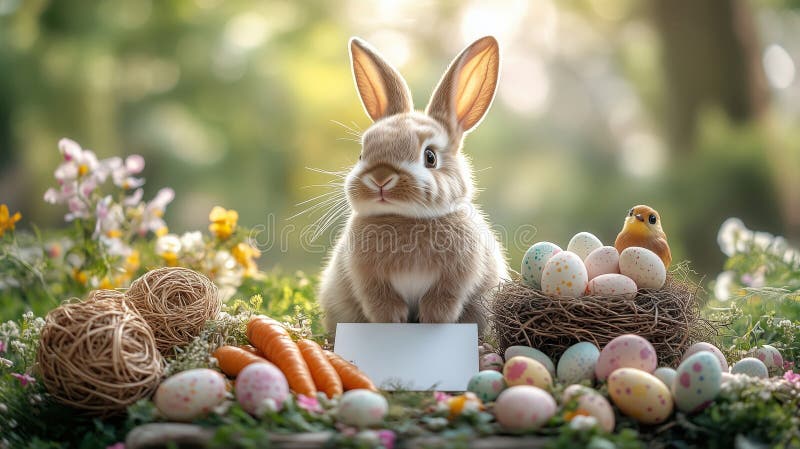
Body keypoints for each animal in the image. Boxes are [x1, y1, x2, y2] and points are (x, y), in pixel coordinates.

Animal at [319, 36, 509, 334]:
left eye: (430, 157)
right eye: (362, 154)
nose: (380, 178)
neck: (405, 218)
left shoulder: (456, 279)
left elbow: (442, 301)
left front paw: (430, 322)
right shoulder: (369, 280)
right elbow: (380, 302)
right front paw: (395, 322)